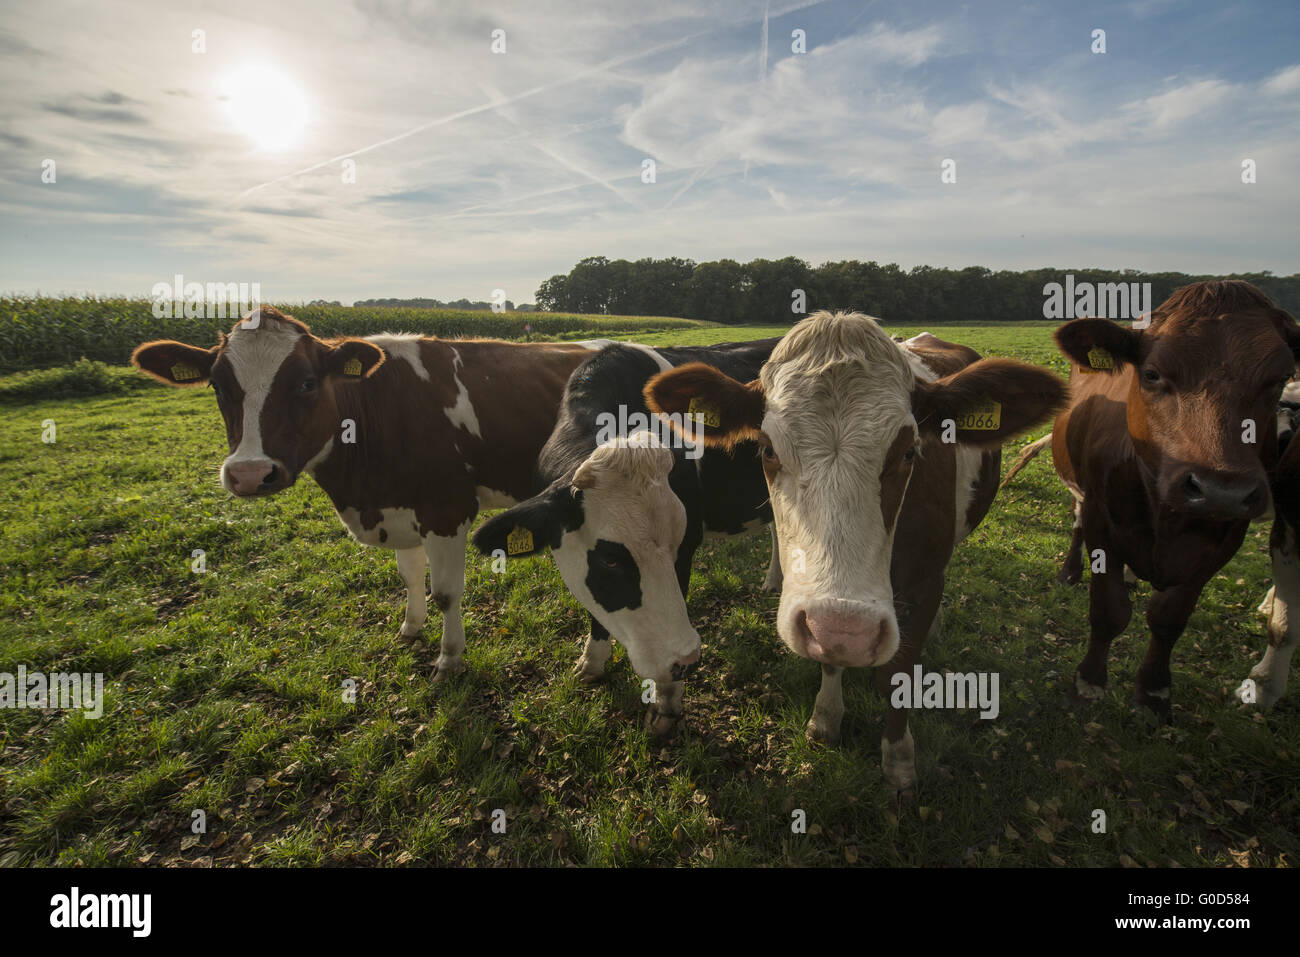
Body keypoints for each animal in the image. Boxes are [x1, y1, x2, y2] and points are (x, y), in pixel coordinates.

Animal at [131, 306, 608, 678]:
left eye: (307, 382)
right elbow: (410, 577)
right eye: (217, 385)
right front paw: (410, 628)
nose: (249, 473)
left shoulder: (446, 509)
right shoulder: (397, 506)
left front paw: (449, 658)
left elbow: (446, 592)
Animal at [471, 339, 781, 732]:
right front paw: (591, 662)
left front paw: (666, 700)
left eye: (683, 547)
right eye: (610, 560)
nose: (687, 660)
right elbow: (596, 615)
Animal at [645, 311, 1066, 790]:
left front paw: (898, 758)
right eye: (768, 450)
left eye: (909, 451)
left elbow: (898, 674)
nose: (846, 628)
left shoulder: (924, 581)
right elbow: (831, 664)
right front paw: (826, 718)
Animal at [1020, 281, 1299, 717]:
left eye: (1281, 376)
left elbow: (1169, 619)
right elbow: (1108, 610)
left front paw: (1152, 692)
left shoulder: (1221, 543)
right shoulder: (1102, 522)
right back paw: (1070, 572)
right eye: (1151, 374)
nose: (1220, 490)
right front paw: (1089, 682)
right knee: (1077, 521)